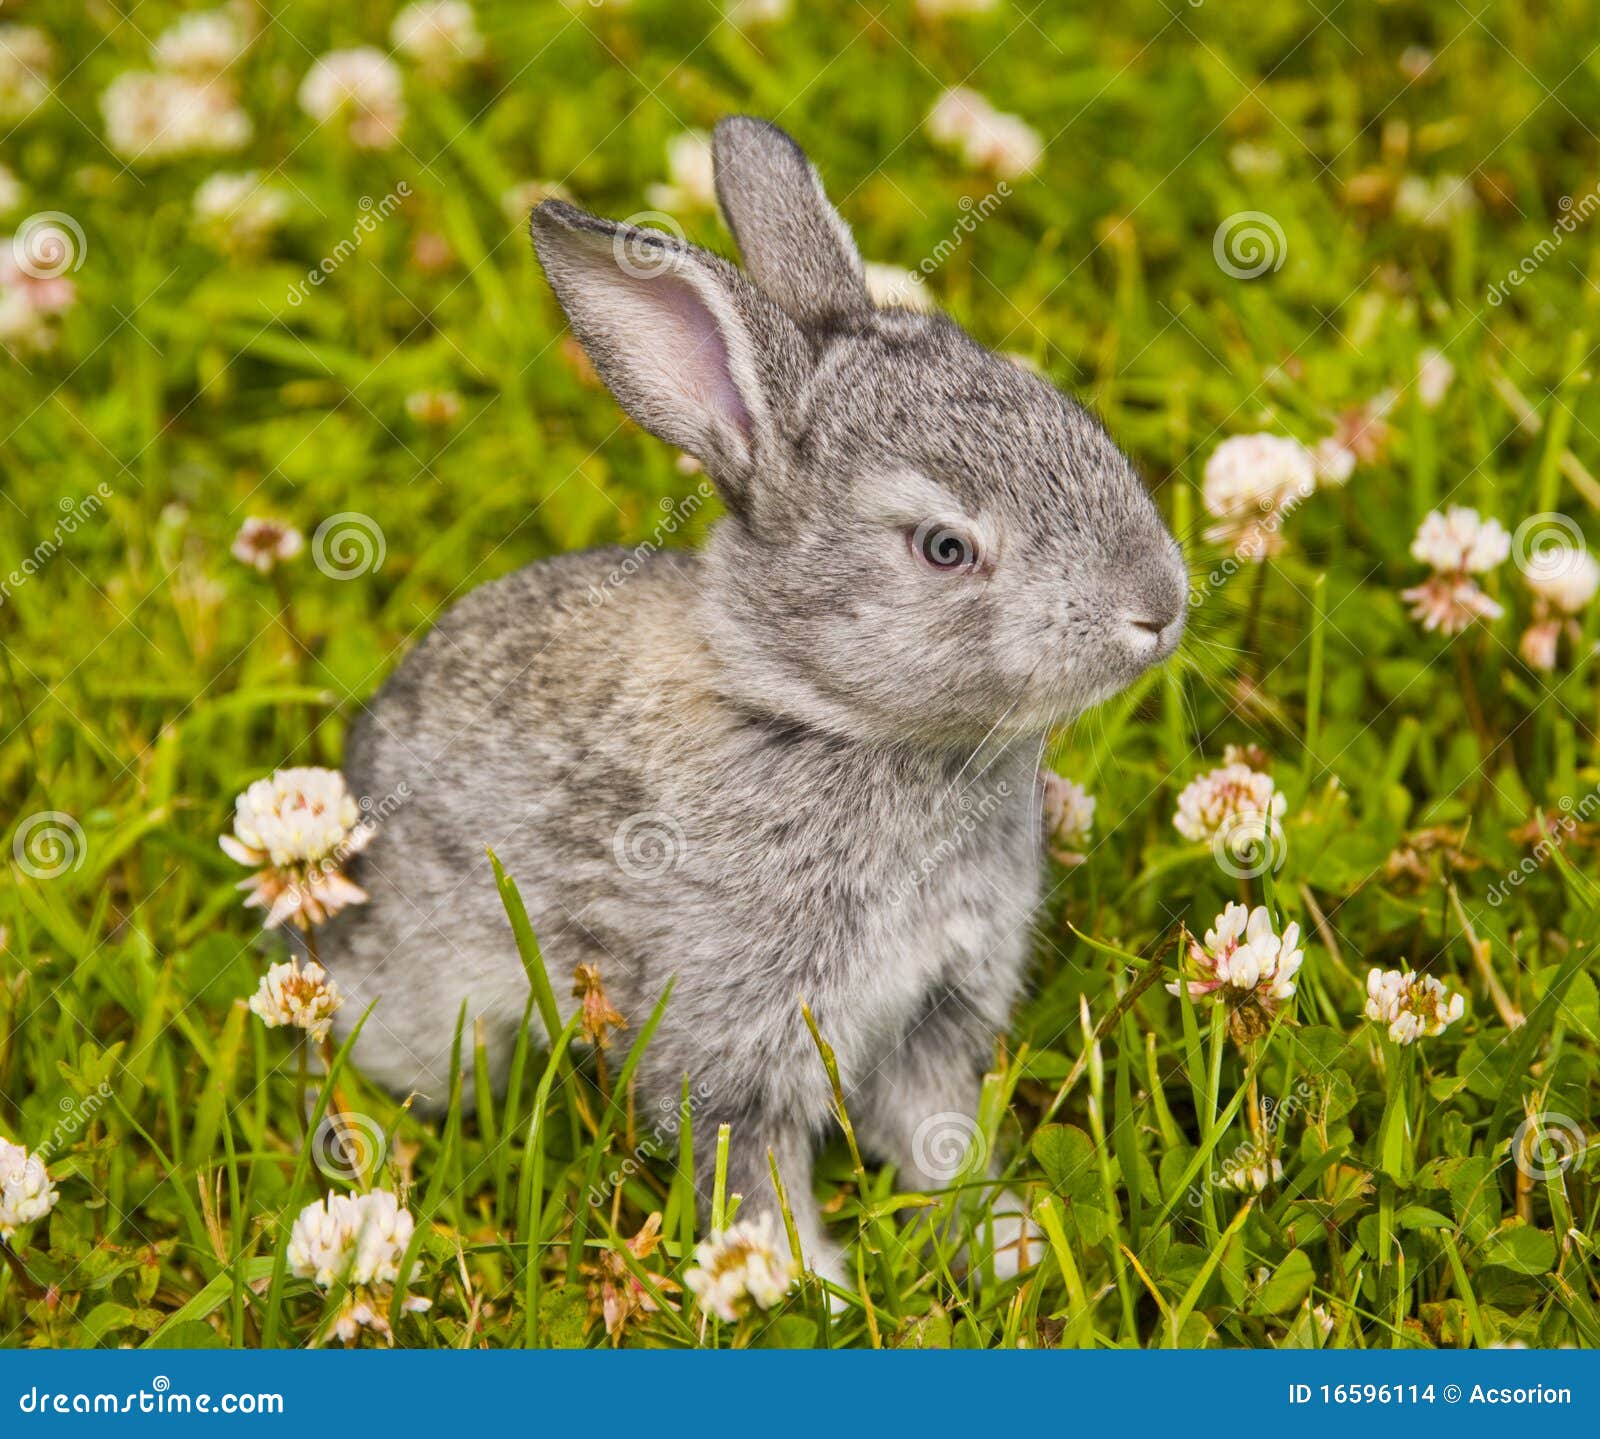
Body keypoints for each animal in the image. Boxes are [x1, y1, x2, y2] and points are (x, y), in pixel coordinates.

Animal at [317, 116, 1186, 1289]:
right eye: (943, 548)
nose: (1159, 607)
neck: (826, 715)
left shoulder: (936, 1010)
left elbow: (936, 1133)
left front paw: (999, 1241)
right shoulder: (733, 1031)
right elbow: (752, 1165)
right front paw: (803, 1284)